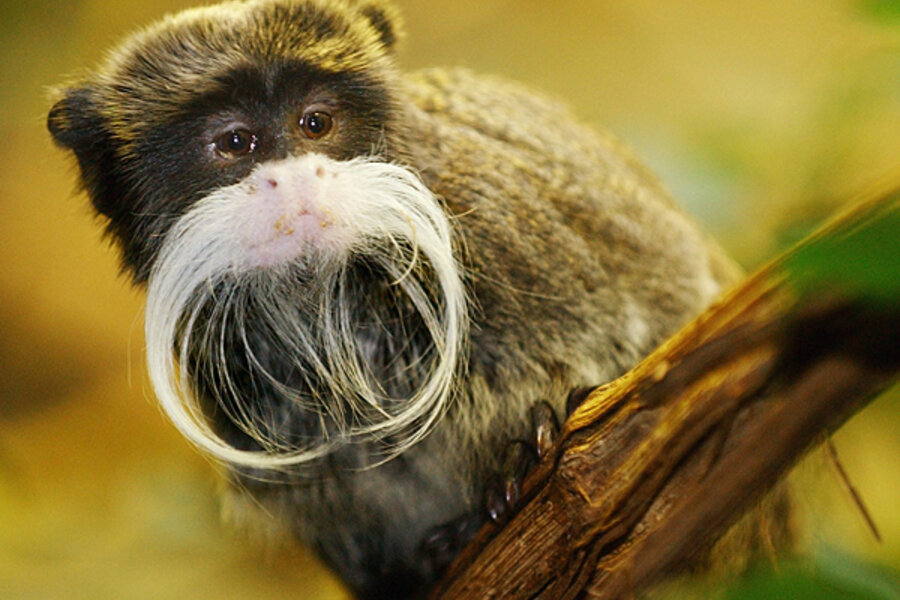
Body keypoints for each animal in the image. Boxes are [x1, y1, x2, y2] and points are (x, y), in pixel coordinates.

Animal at [47, 0, 791, 597]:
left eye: (315, 123)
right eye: (235, 142)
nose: (298, 179)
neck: (325, 305)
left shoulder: (489, 220)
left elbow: (611, 335)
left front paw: (533, 441)